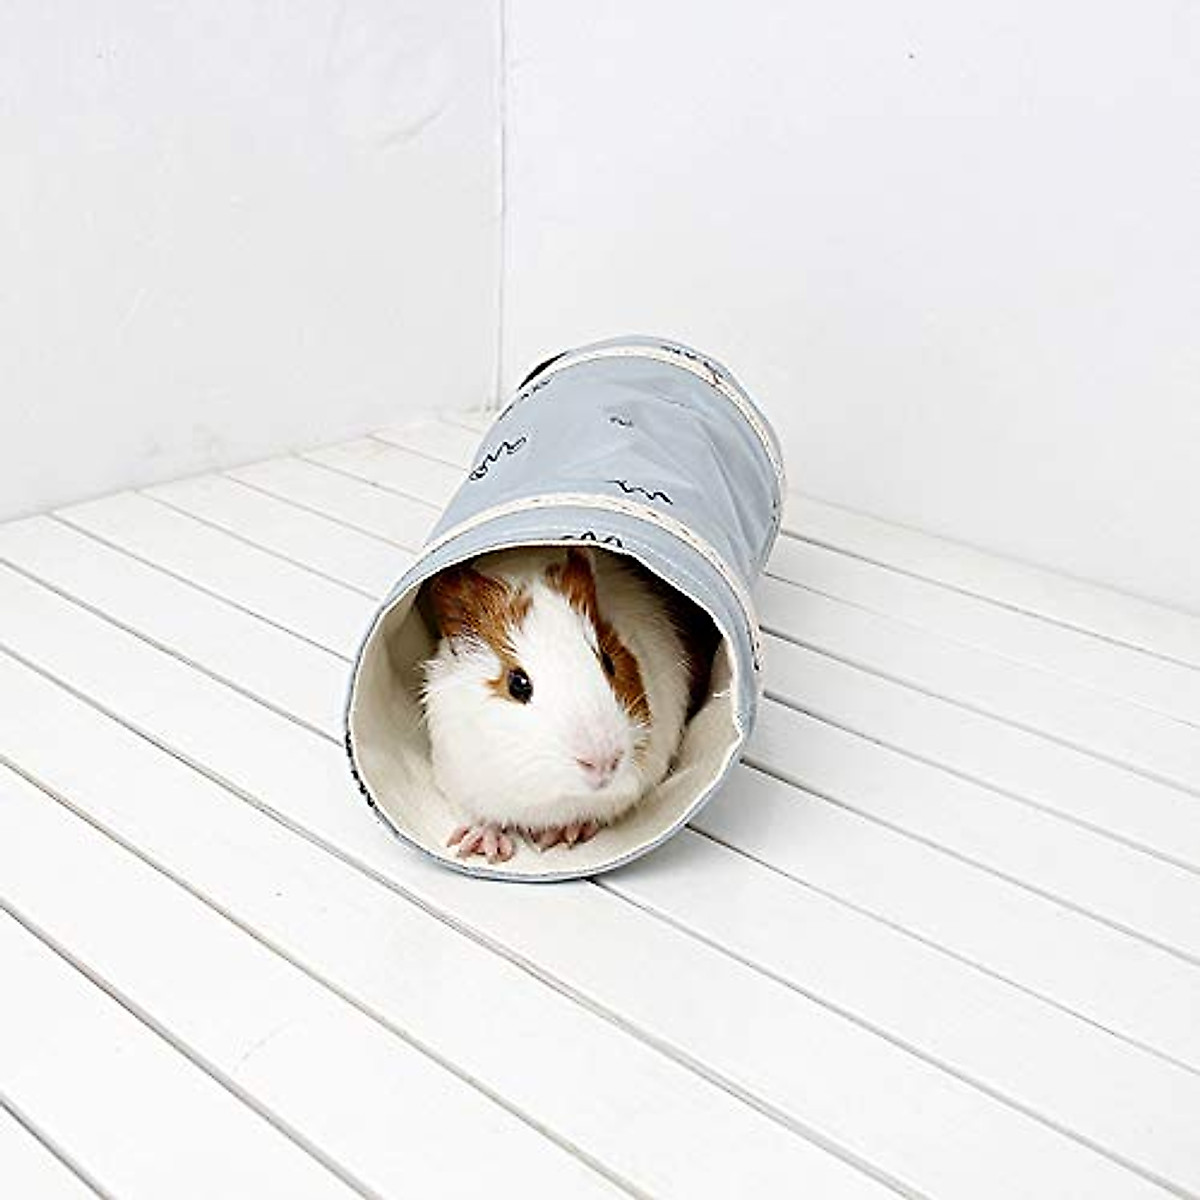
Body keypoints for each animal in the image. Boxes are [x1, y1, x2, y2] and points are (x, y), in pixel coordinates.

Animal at [418, 545, 709, 863]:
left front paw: (561, 836)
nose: (603, 762)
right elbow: (476, 814)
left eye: (608, 661)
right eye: (517, 683)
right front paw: (486, 848)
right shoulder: (453, 775)